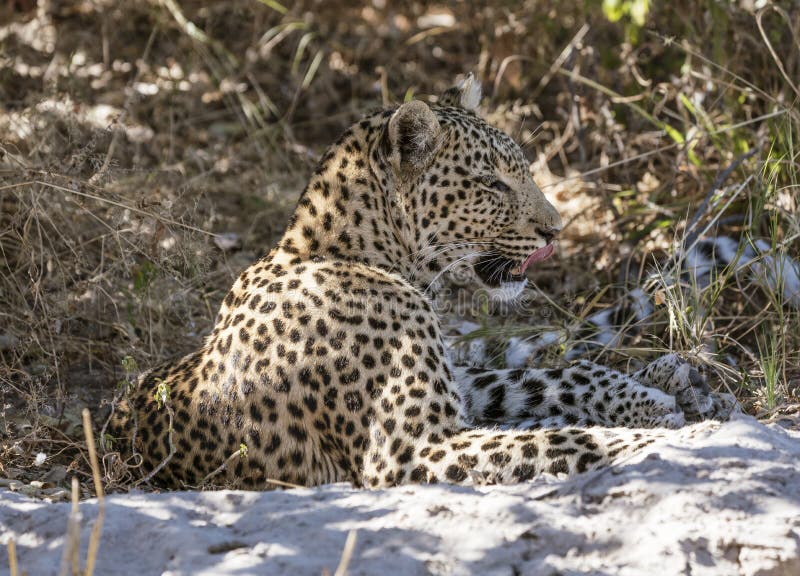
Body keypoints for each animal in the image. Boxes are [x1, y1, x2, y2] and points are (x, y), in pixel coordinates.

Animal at [107, 75, 733, 489]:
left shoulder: (461, 390)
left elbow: (548, 377)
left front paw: (653, 400)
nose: (557, 230)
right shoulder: (411, 451)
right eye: (491, 183)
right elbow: (562, 437)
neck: (365, 258)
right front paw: (669, 441)